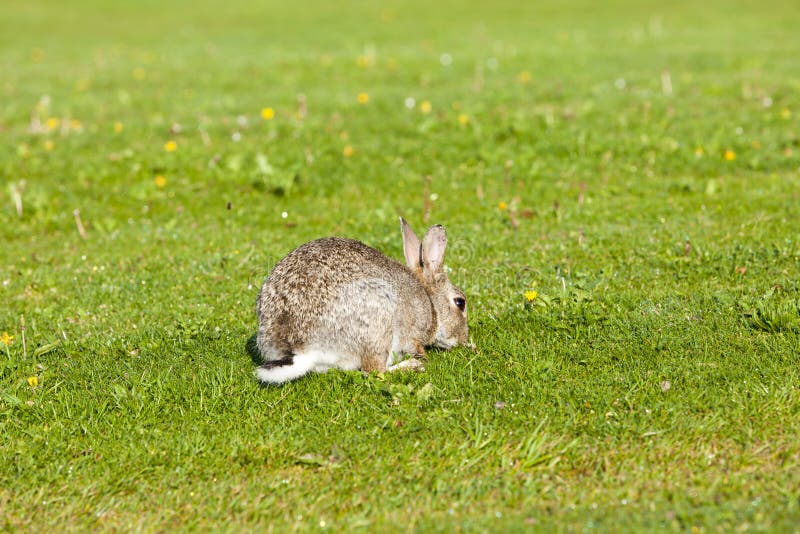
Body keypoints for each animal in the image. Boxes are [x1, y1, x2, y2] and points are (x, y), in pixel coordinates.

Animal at [254, 218, 469, 384]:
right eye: (460, 303)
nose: (464, 340)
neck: (431, 303)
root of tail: (301, 347)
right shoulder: (412, 333)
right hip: (379, 323)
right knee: (375, 371)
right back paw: (412, 365)